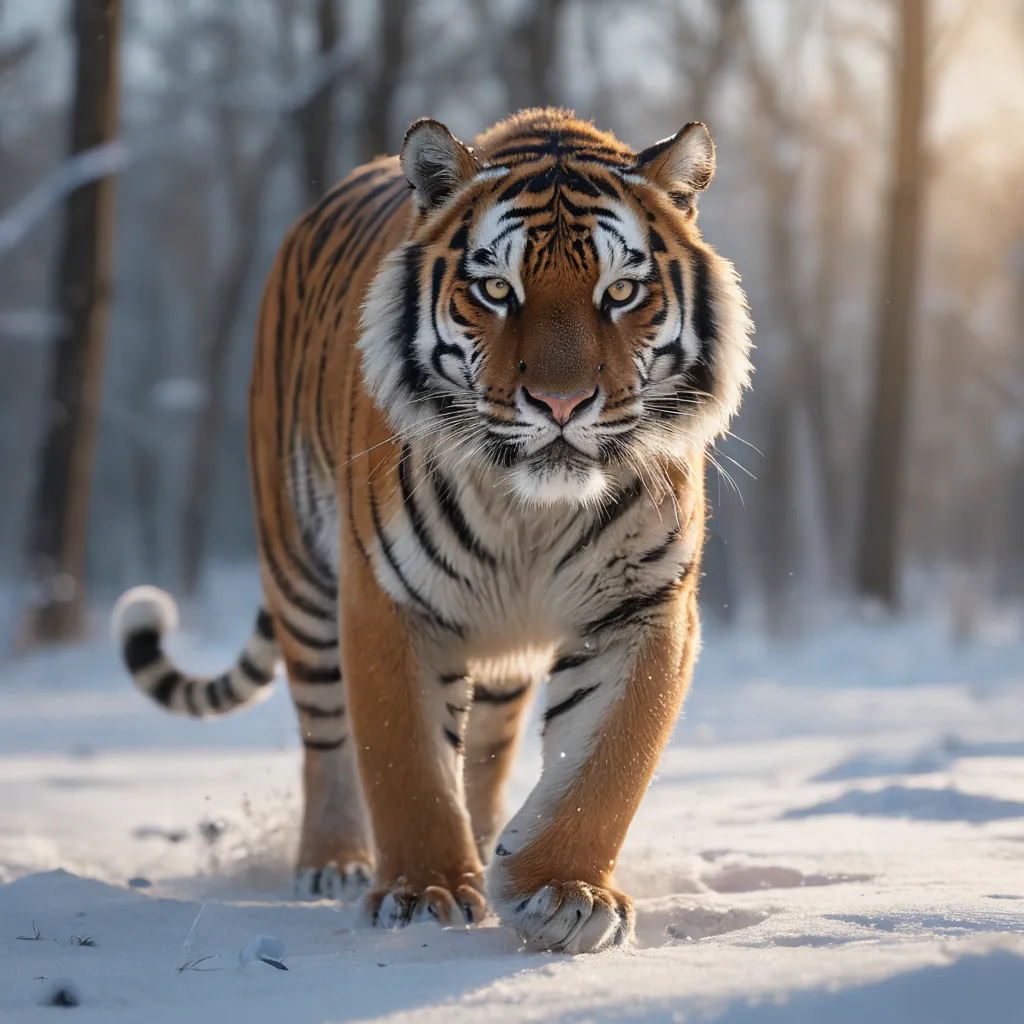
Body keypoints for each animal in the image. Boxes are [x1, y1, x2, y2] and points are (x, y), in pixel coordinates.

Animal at [113, 107, 752, 953]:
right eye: (495, 289)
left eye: (620, 291)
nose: (561, 403)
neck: (530, 512)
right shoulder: (387, 599)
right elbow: (404, 759)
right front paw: (425, 894)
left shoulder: (645, 603)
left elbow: (609, 758)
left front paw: (564, 892)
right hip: (302, 582)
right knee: (327, 742)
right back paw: (334, 863)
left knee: (486, 748)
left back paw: (486, 842)